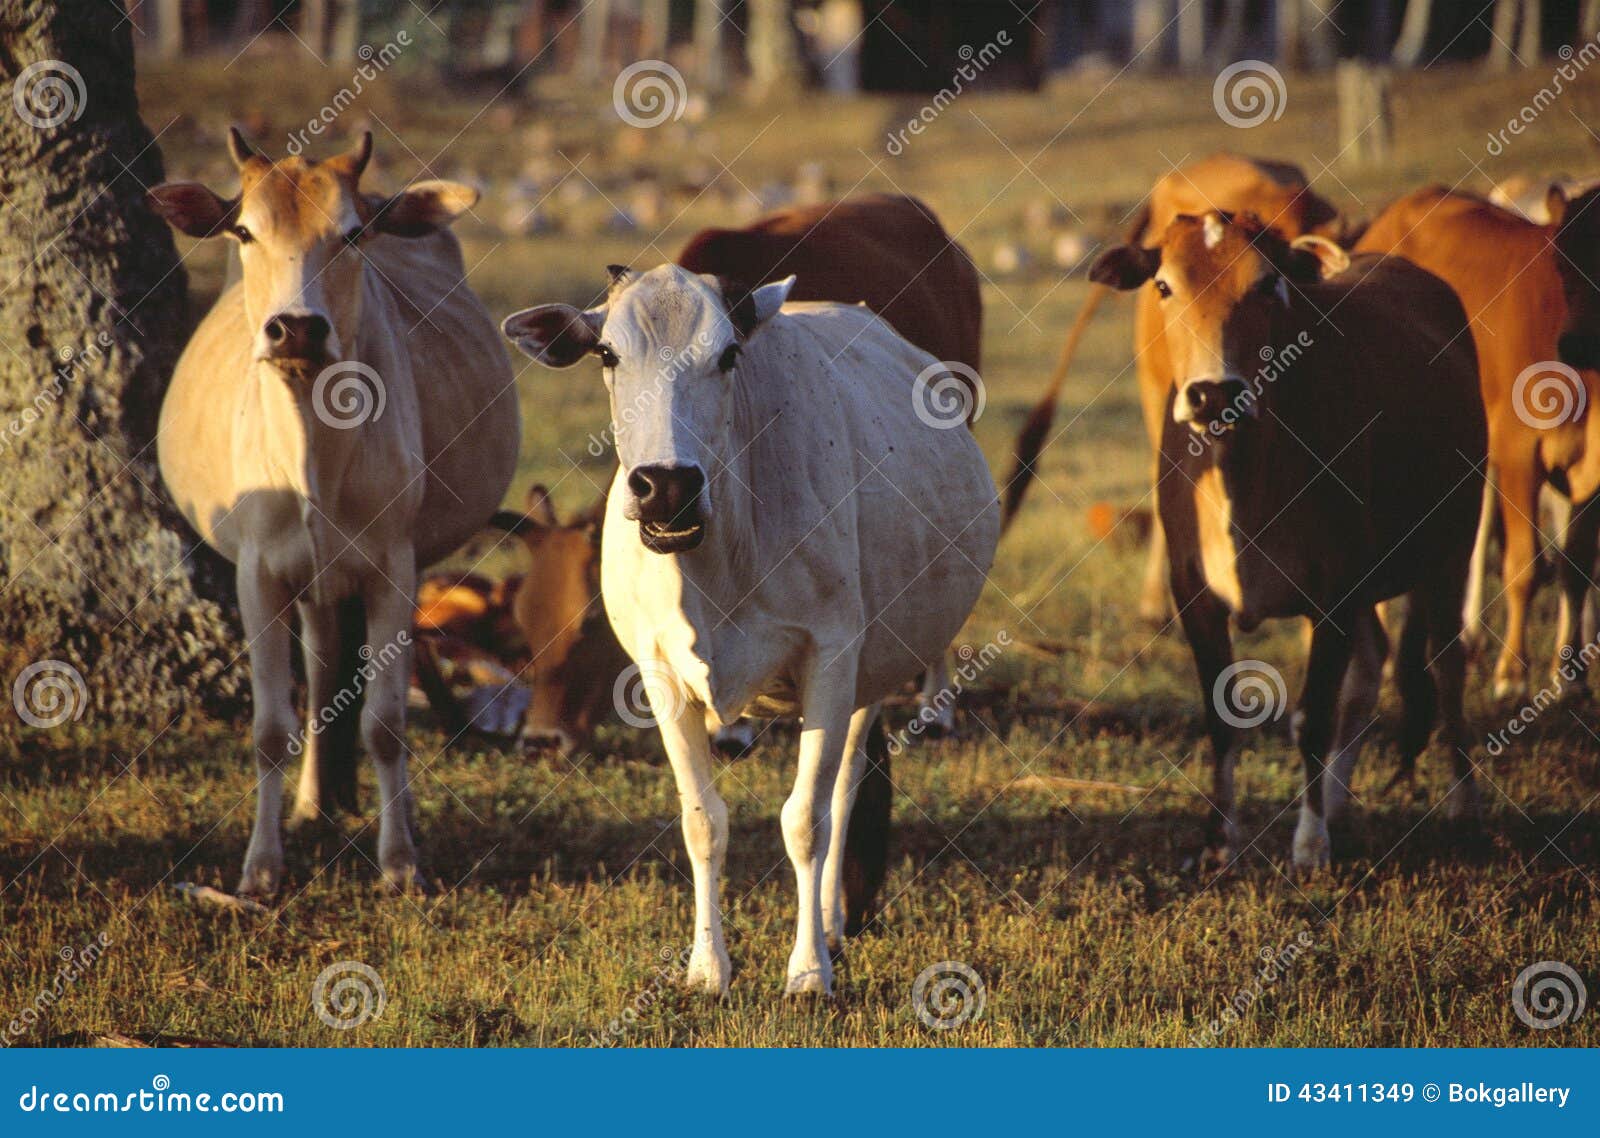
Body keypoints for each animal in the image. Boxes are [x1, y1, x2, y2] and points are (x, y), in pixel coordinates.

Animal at [148, 129, 520, 895]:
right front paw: (260, 870)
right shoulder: (257, 574)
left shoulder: (393, 568)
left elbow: (386, 723)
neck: (312, 444)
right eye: (244, 231)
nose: (295, 328)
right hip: (311, 582)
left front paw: (400, 862)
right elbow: (269, 727)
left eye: (352, 234)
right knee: (320, 675)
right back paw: (312, 805)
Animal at [502, 264, 1000, 994]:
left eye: (729, 354)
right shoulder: (658, 673)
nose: (666, 486)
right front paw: (707, 968)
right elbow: (703, 822)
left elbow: (806, 820)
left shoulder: (832, 654)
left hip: (871, 670)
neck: (715, 561)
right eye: (607, 354)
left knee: (843, 786)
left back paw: (832, 924)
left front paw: (808, 971)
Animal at [1090, 211, 1485, 867]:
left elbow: (1312, 718)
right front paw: (1219, 839)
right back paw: (1340, 800)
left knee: (1446, 663)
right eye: (1164, 285)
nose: (1214, 393)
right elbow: (1221, 718)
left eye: (1266, 284)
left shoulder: (1334, 592)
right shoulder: (1193, 592)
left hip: (1451, 547)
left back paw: (1462, 804)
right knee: (1370, 669)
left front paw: (1309, 844)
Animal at [1356, 186, 1600, 699]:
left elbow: (1576, 568)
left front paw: (1570, 675)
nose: (1577, 343)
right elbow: (1524, 567)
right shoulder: (1518, 452)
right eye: (1562, 264)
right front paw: (1512, 674)